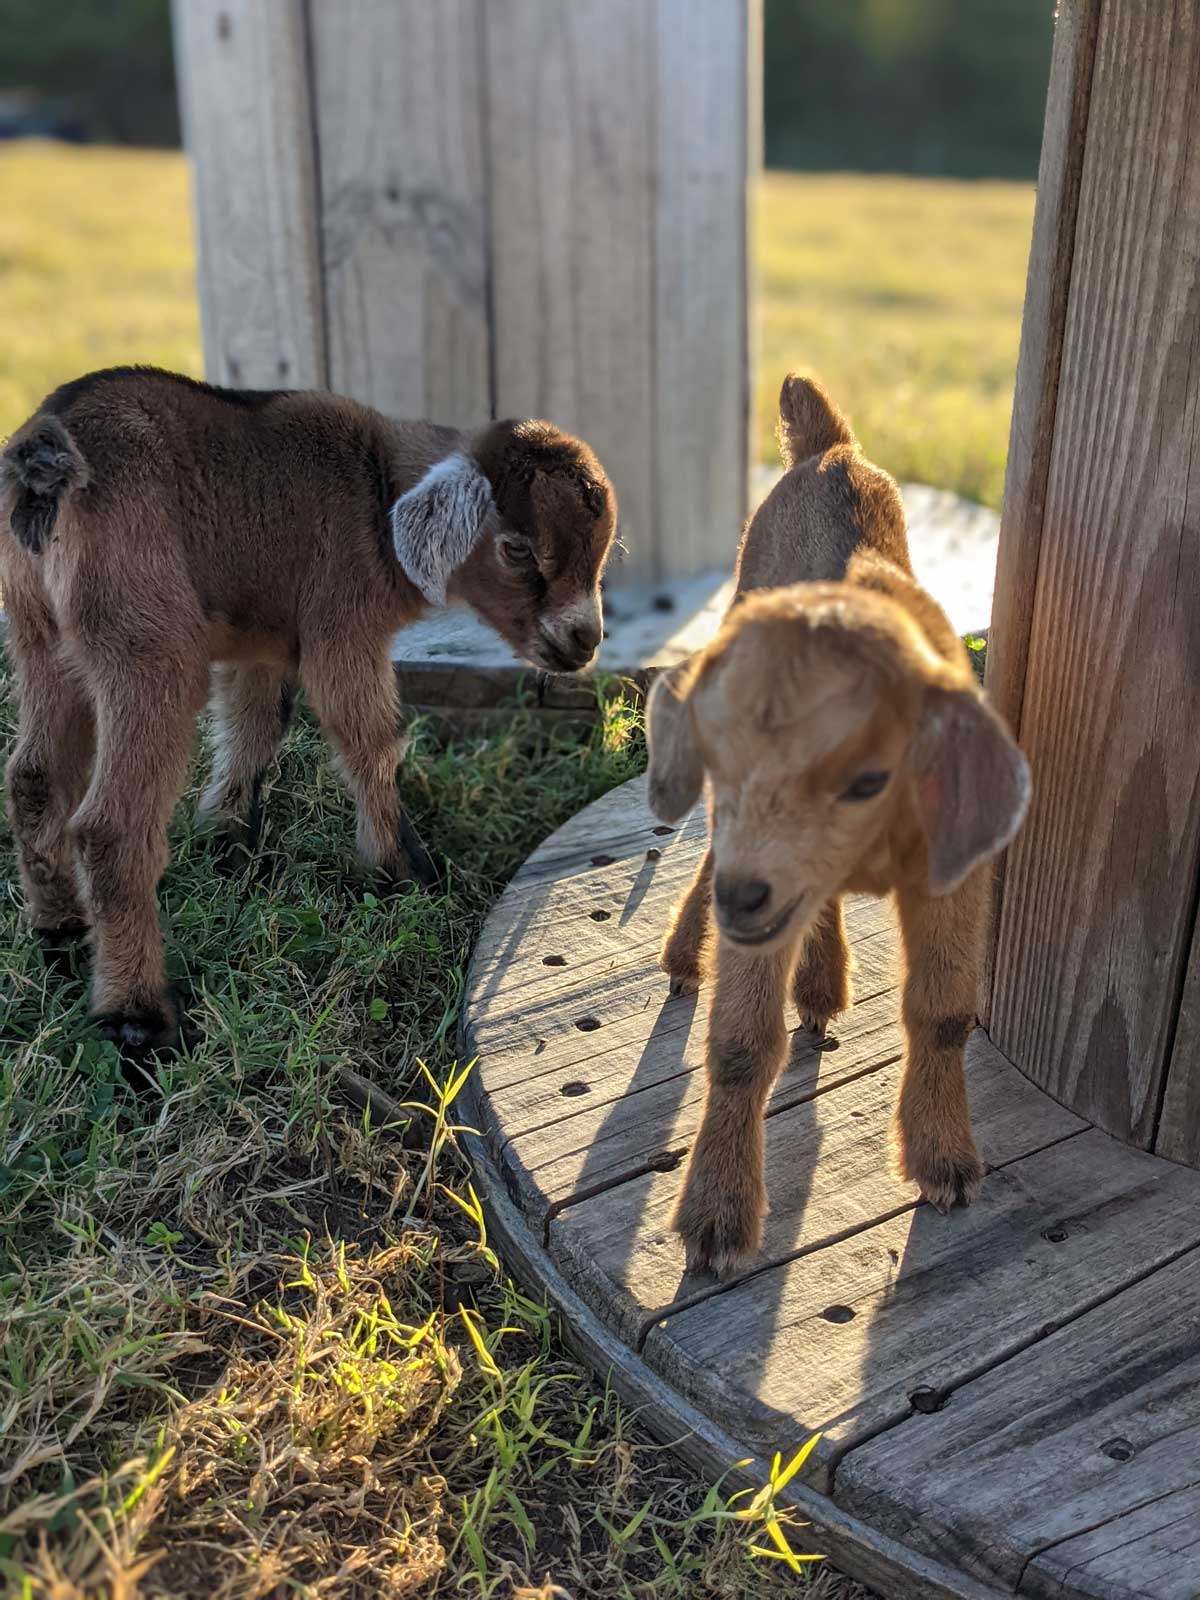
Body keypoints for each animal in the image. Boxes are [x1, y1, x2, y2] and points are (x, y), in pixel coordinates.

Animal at [1, 366, 616, 1062]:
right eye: (515, 549)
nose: (584, 641)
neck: (378, 488)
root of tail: (48, 447)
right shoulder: (341, 628)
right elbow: (374, 743)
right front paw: (402, 871)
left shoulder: (262, 643)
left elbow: (255, 726)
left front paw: (229, 844)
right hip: (145, 637)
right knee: (110, 827)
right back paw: (138, 1018)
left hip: (41, 636)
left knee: (34, 780)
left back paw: (58, 933)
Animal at [646, 375, 1029, 1278]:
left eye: (867, 777)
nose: (744, 900)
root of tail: (828, 444)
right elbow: (742, 1044)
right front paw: (716, 1215)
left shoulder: (952, 877)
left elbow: (945, 1009)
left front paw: (943, 1158)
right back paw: (693, 955)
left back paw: (818, 987)